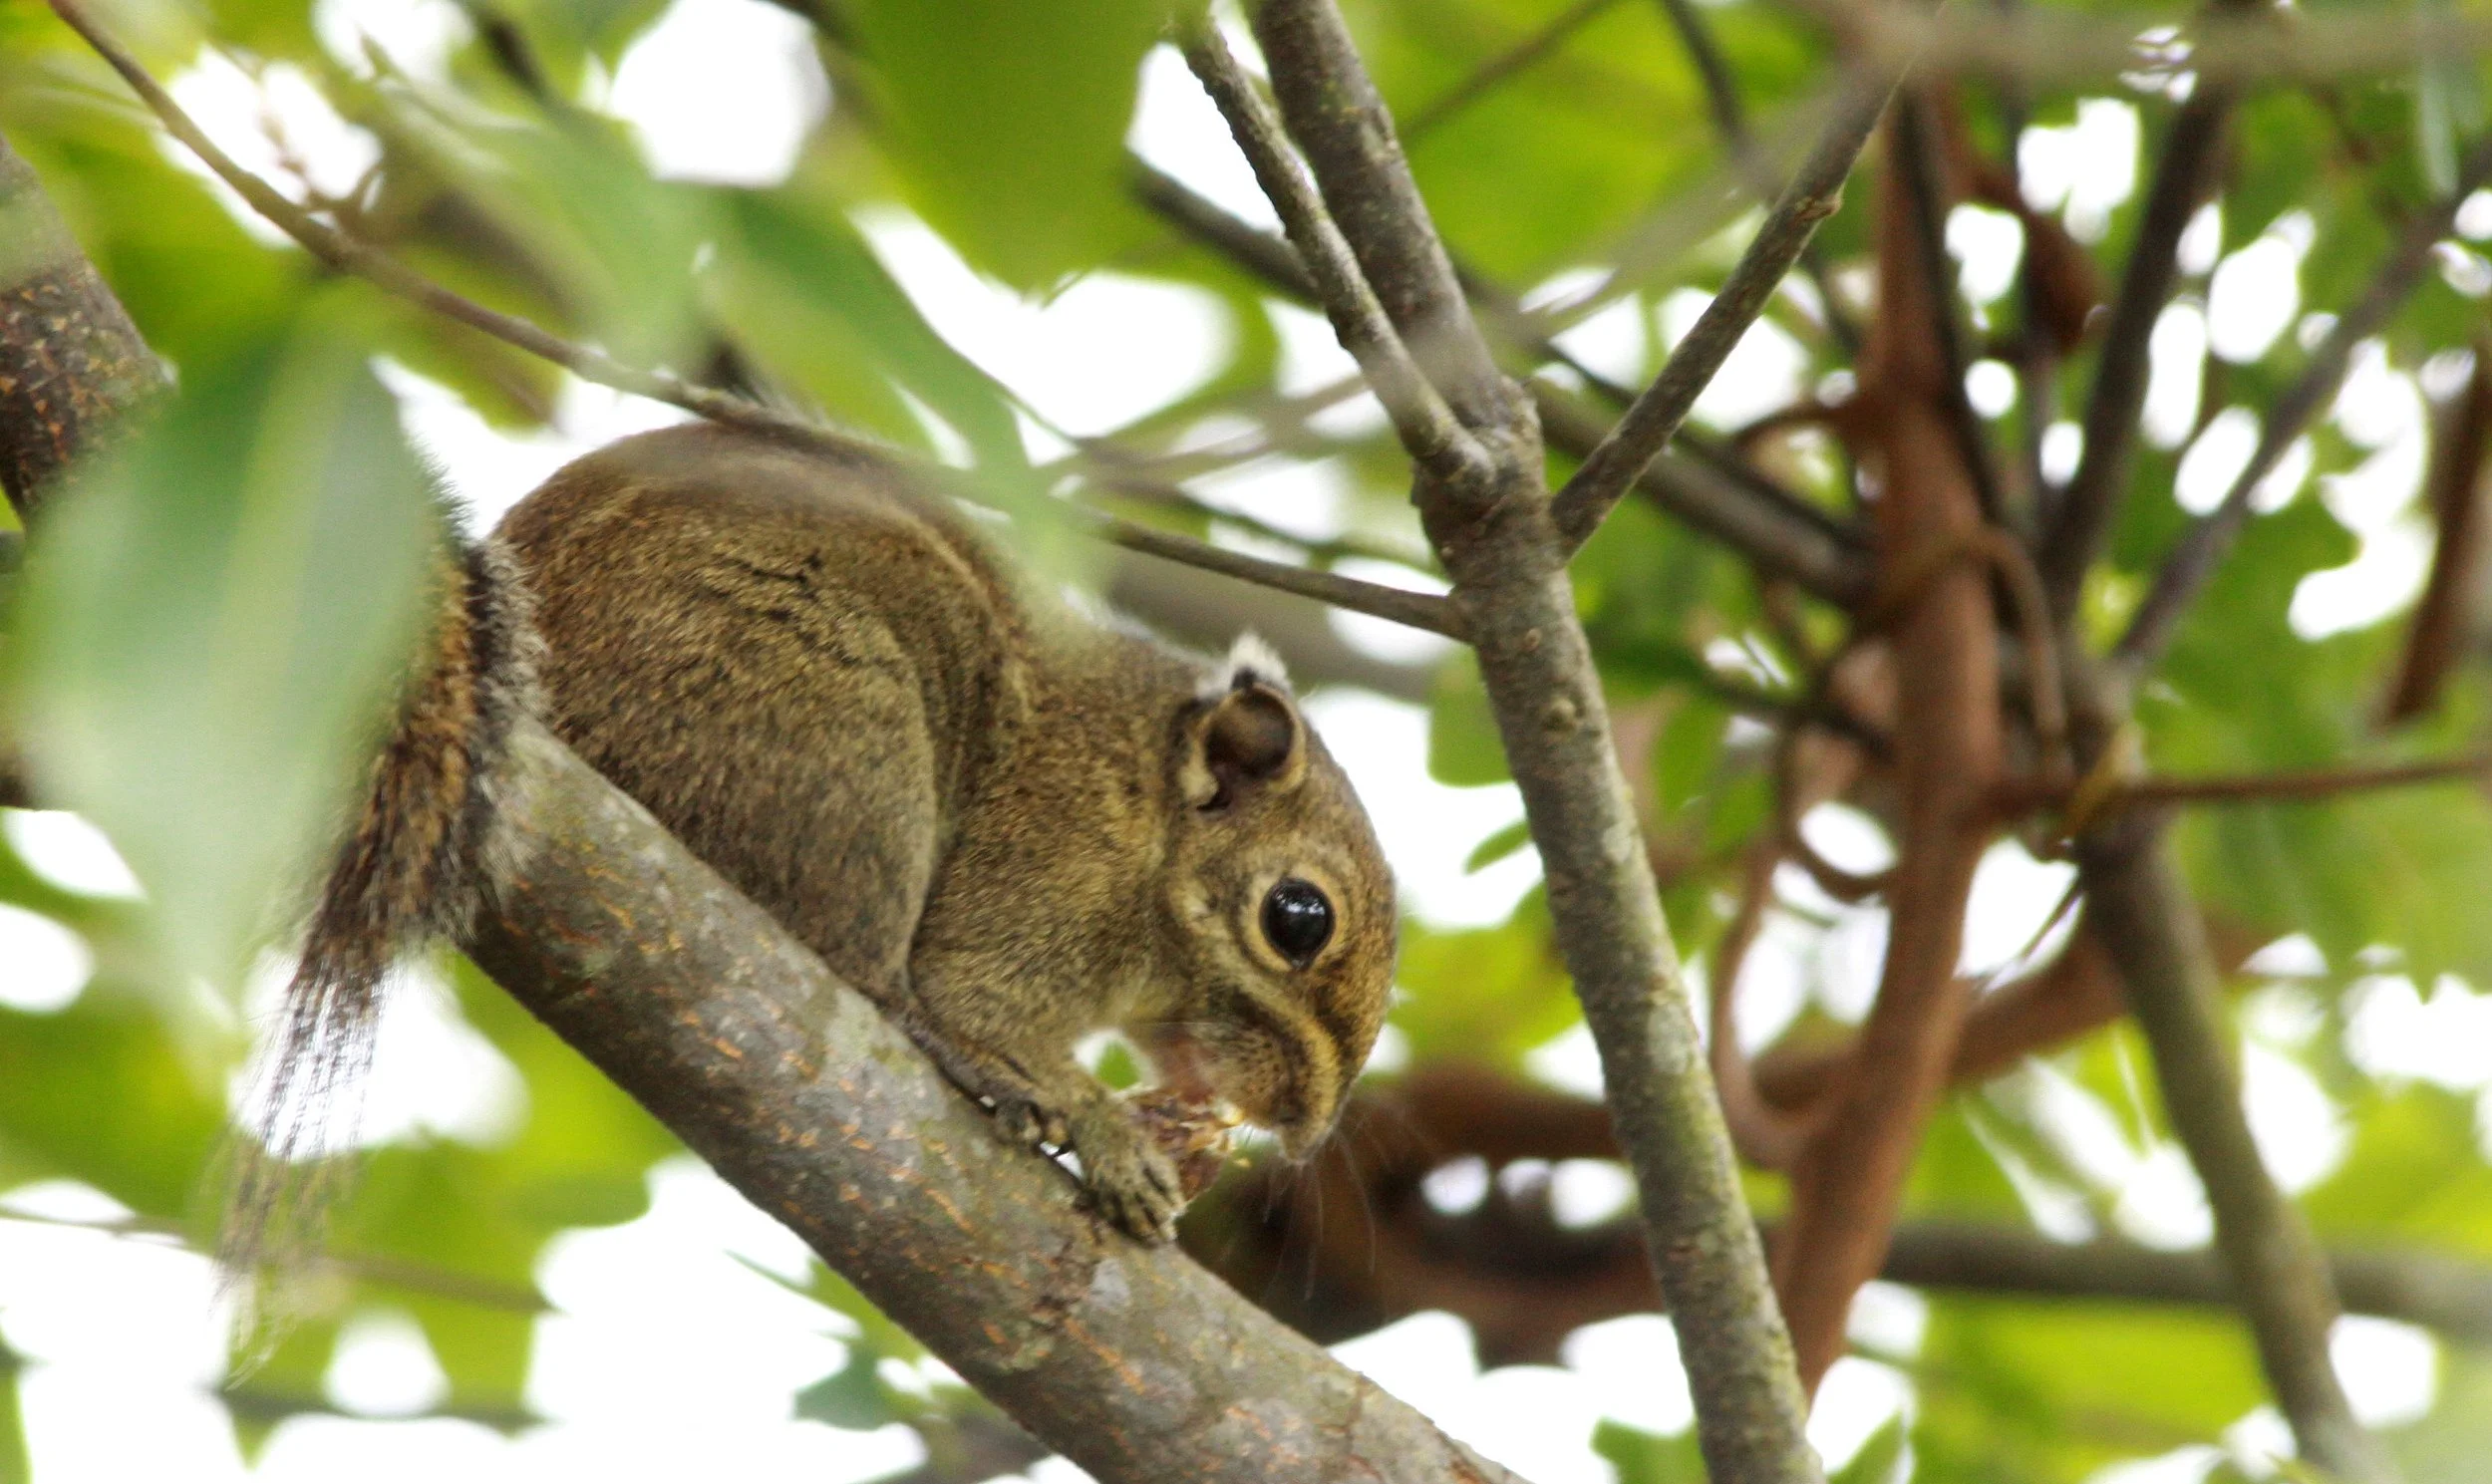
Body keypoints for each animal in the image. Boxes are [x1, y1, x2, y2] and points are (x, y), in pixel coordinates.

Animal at [247, 420, 1397, 1248]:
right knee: (880, 983)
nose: (1305, 1130)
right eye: (1298, 917)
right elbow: (970, 995)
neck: (1146, 805)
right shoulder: (1048, 864)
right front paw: (1105, 1124)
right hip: (840, 732)